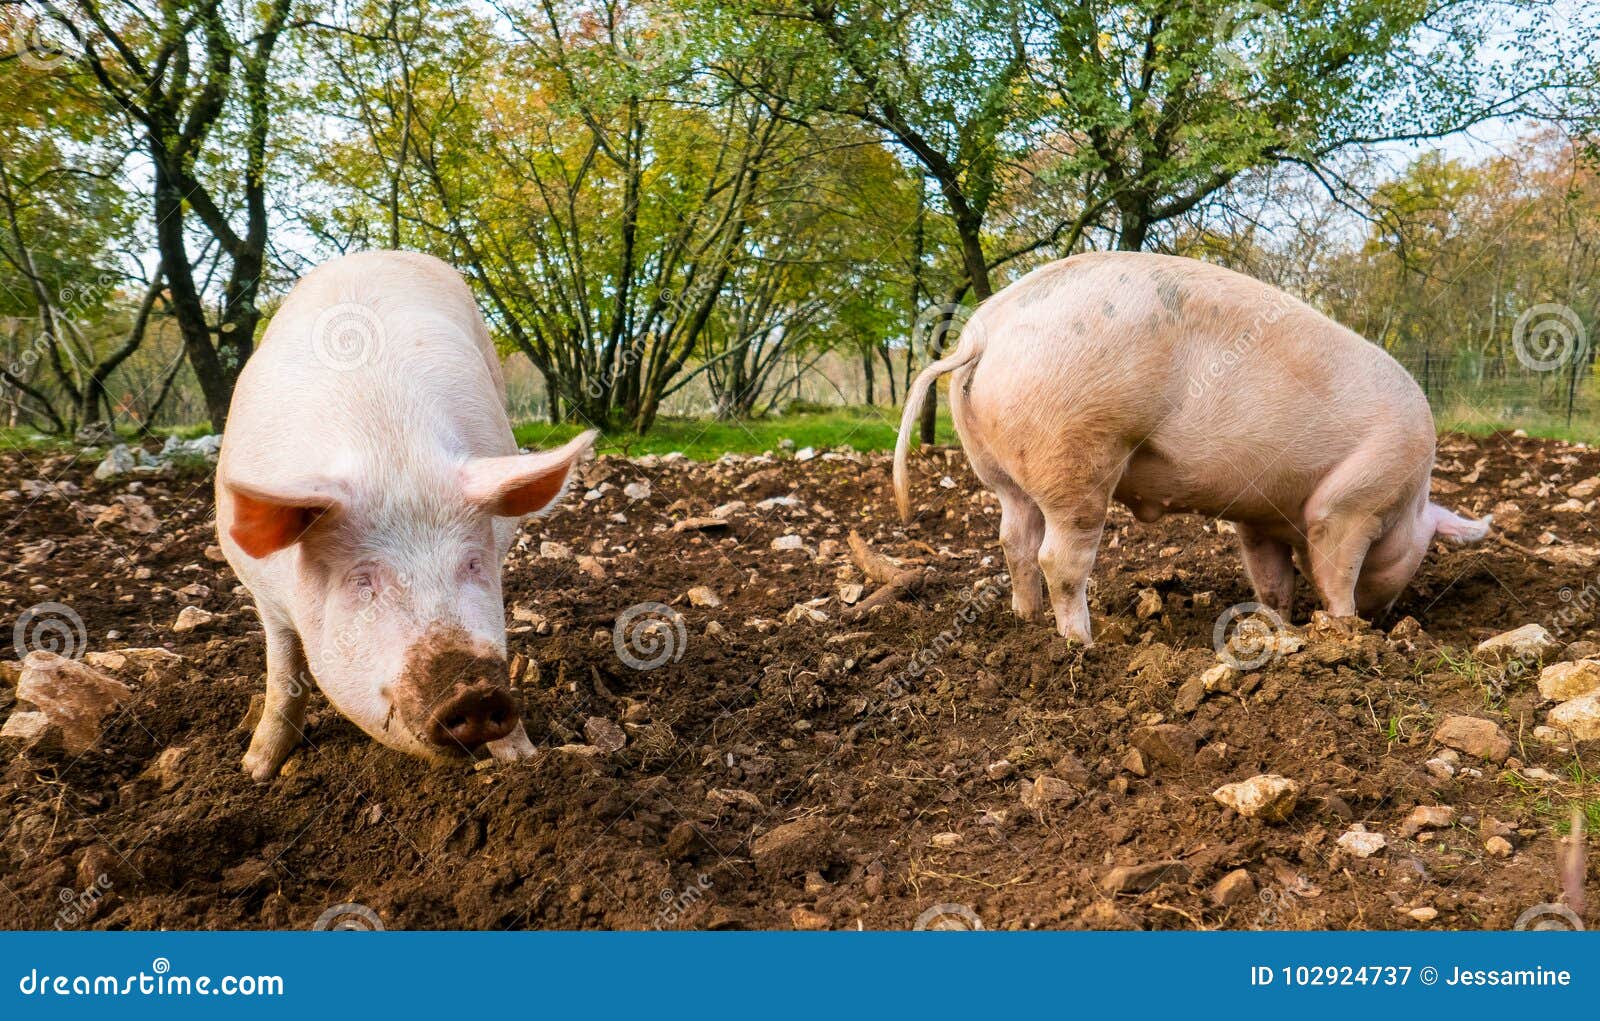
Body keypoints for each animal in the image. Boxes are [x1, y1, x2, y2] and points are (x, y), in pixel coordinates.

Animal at [217, 251, 595, 780]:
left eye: (472, 564)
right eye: (363, 580)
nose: (474, 694)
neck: (390, 456)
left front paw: (523, 760)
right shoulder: (264, 594)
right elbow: (284, 672)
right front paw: (256, 771)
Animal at [894, 251, 1489, 644]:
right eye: (1422, 549)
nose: (1382, 618)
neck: (1409, 500)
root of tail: (983, 329)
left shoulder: (1258, 519)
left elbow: (1273, 583)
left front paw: (1279, 627)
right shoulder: (1352, 503)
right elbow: (1335, 571)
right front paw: (1347, 630)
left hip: (1000, 470)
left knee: (1014, 540)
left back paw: (1026, 622)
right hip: (1077, 451)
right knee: (1057, 557)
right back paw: (1084, 643)